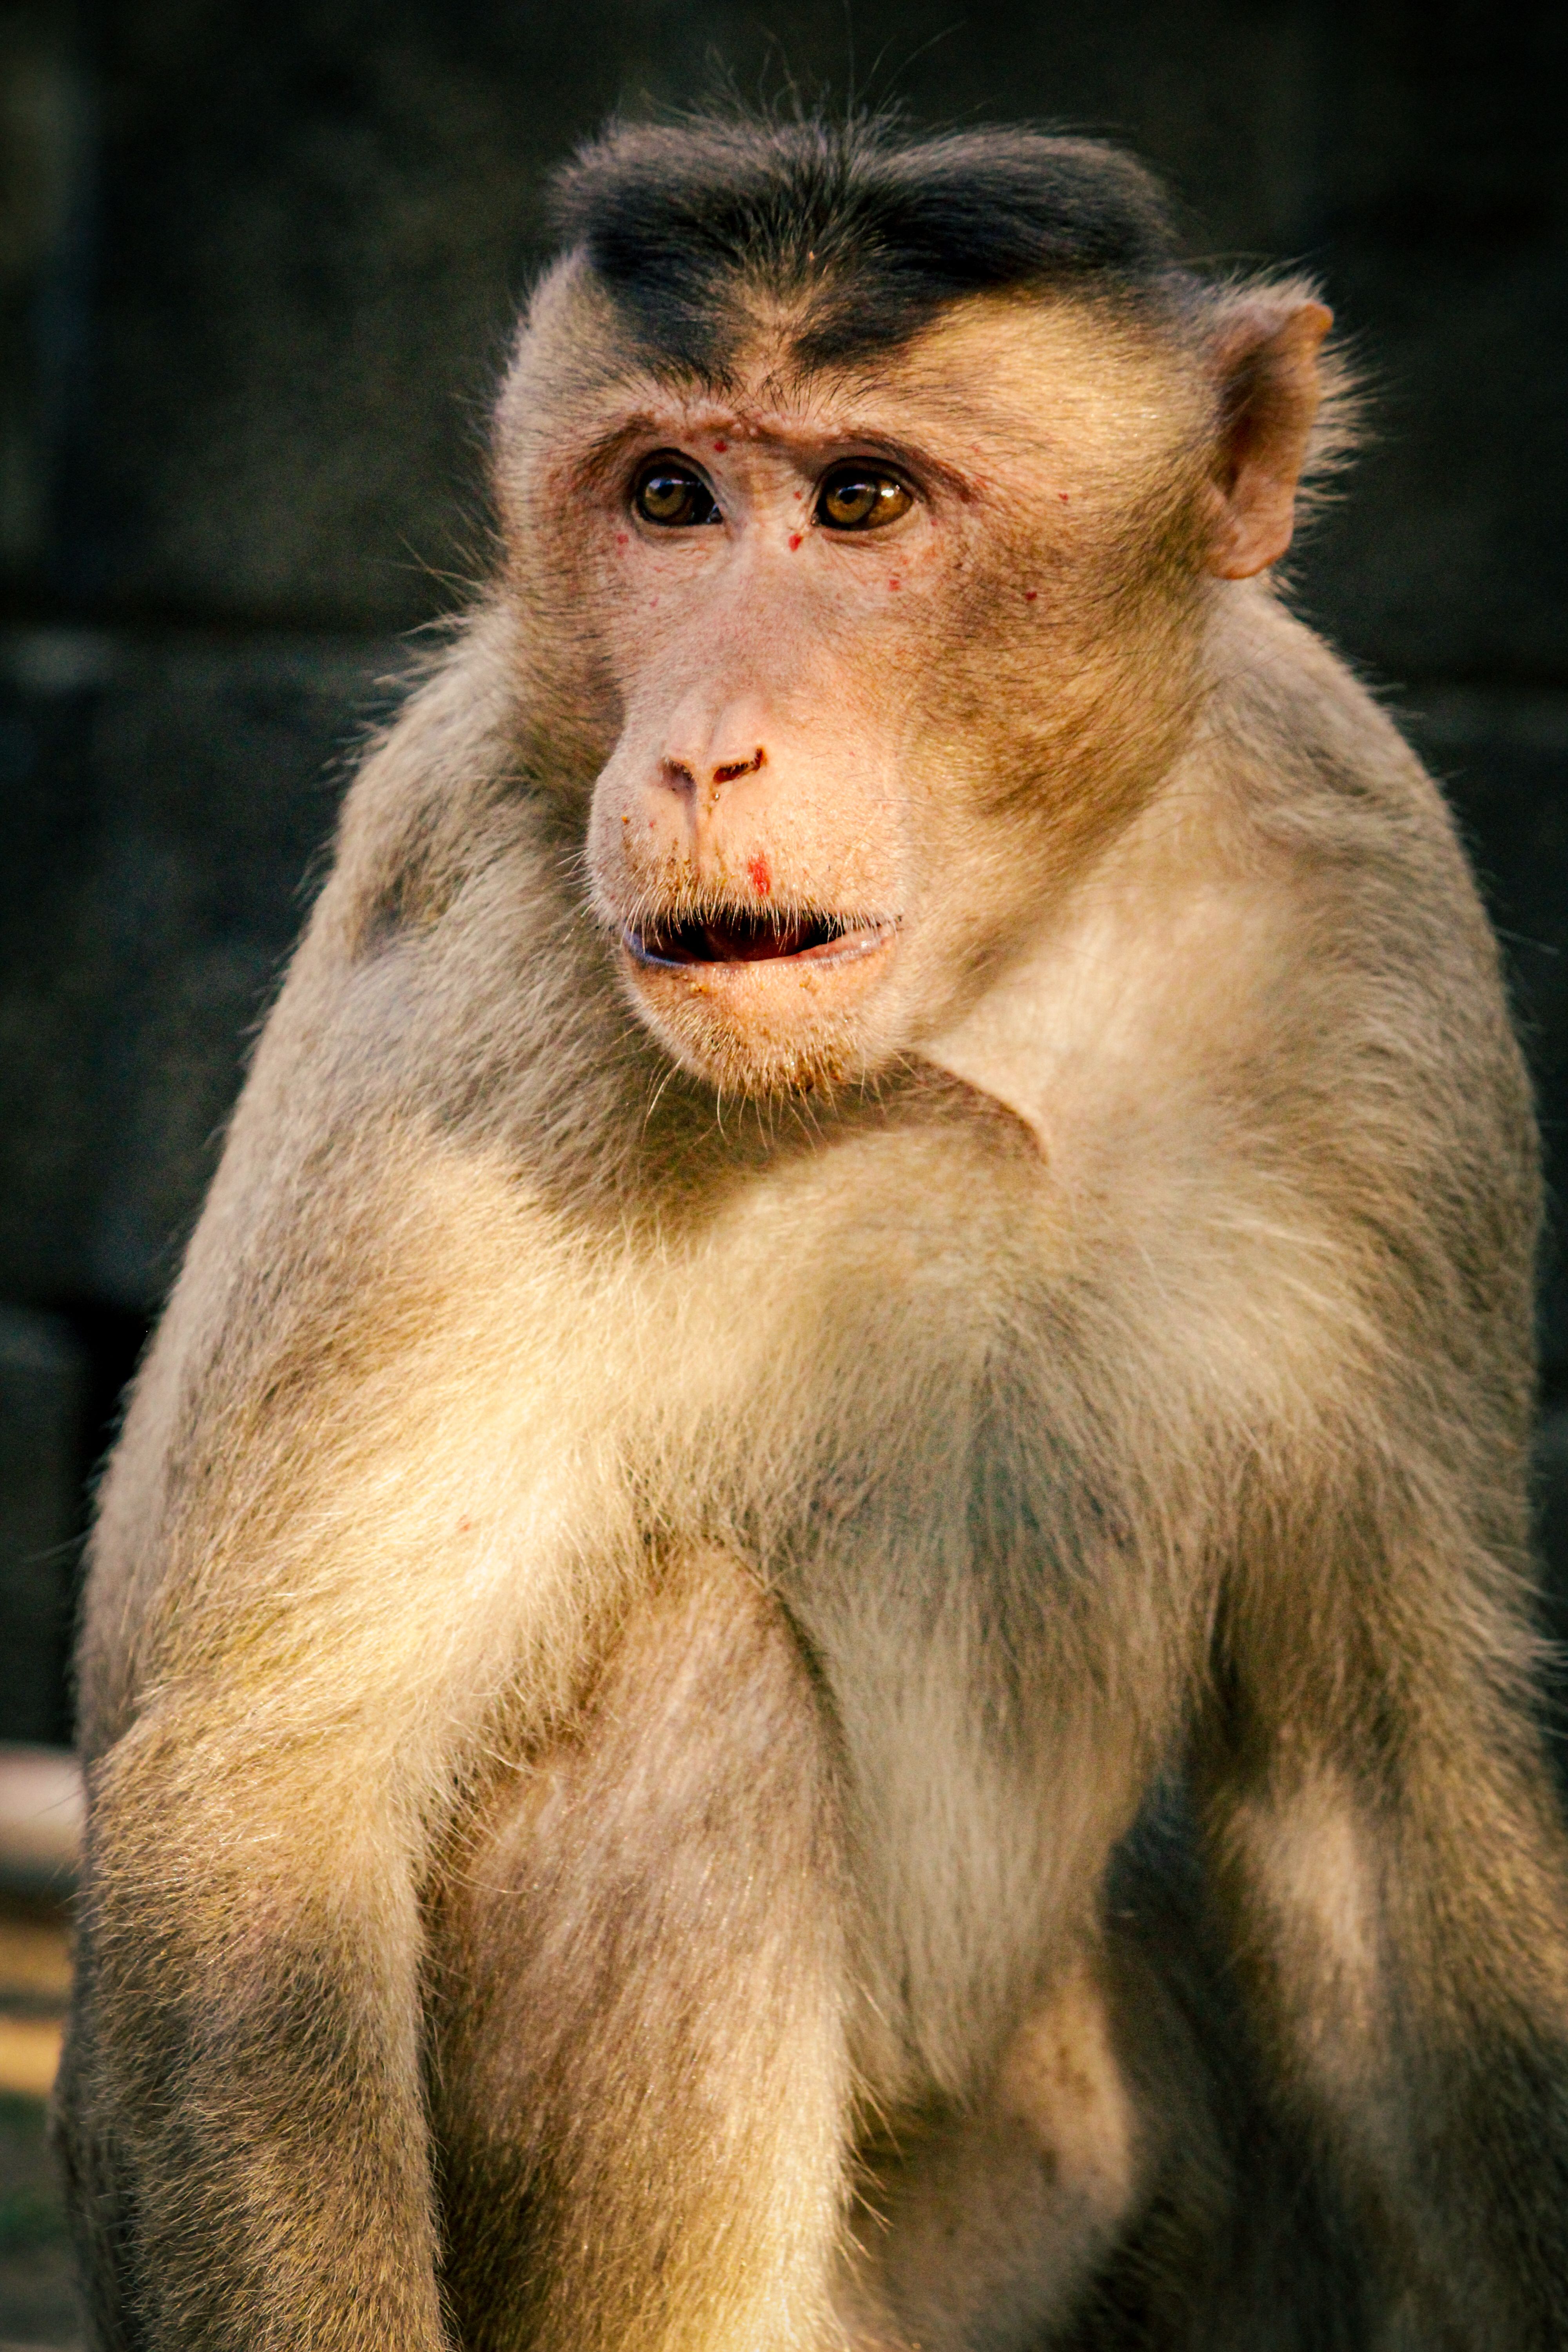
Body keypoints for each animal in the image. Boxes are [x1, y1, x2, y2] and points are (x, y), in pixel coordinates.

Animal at [53, 110, 1568, 2351]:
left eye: (860, 500)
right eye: (667, 497)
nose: (696, 748)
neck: (979, 995)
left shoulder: (1377, 910)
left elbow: (1380, 1812)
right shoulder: (484, 960)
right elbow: (264, 1827)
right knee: (701, 1683)